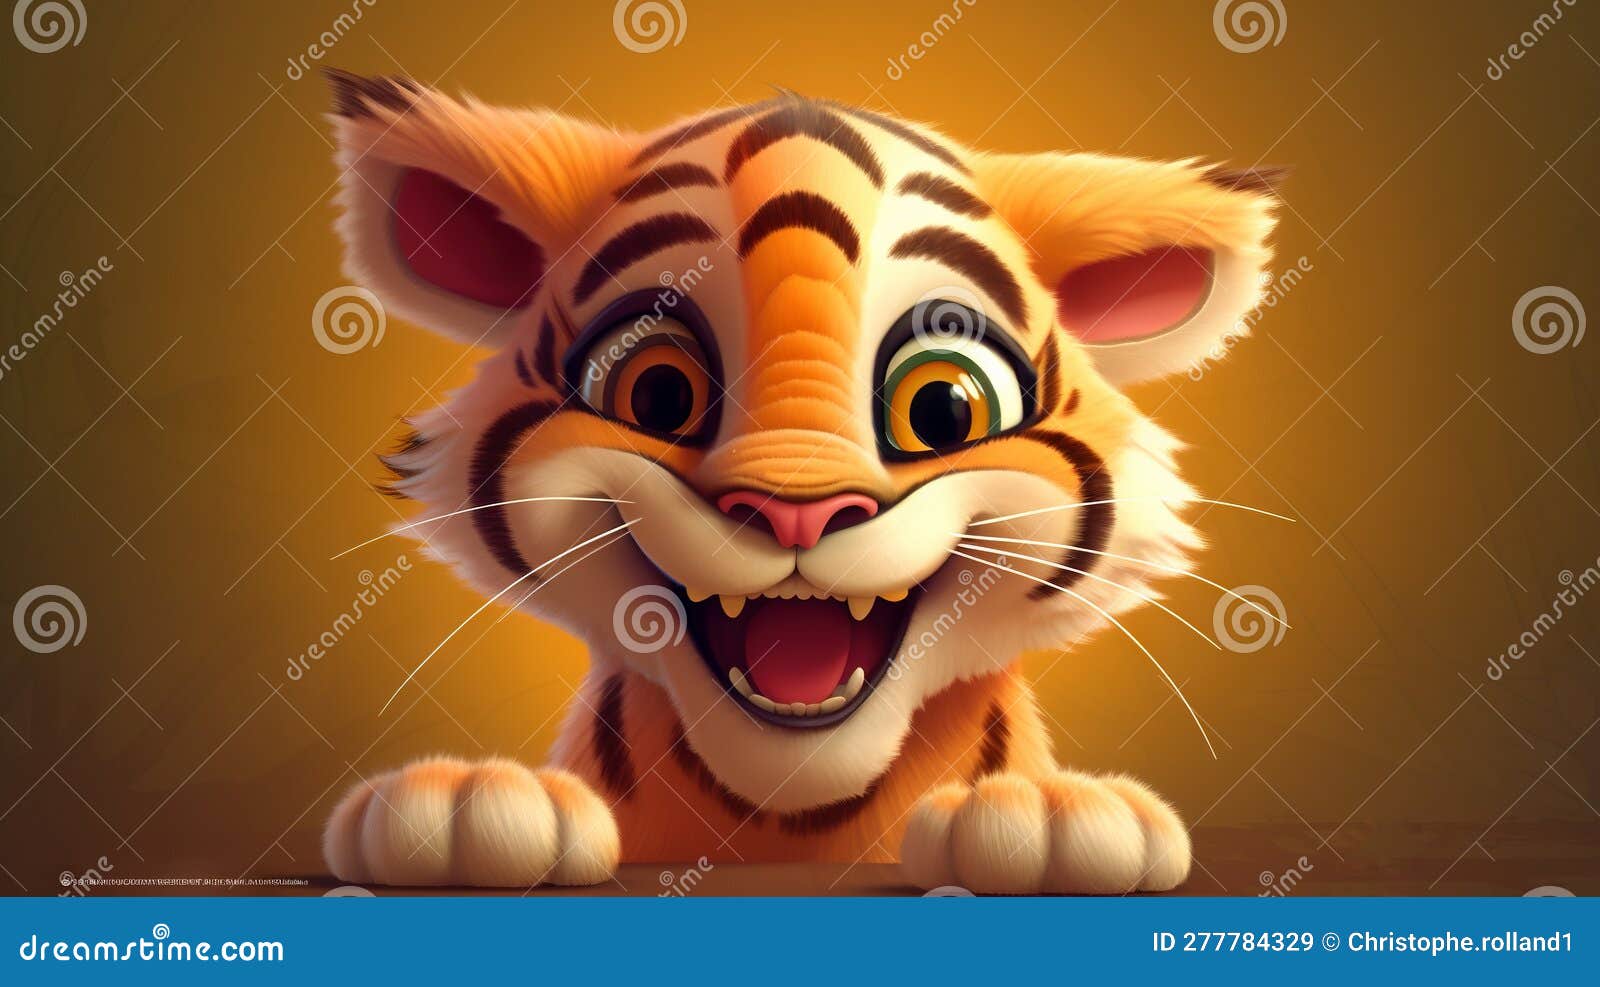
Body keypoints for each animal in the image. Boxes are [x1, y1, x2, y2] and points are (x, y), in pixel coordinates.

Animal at [318, 69, 1282, 894]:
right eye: (659, 392)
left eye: (942, 408)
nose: (796, 512)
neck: (794, 820)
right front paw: (468, 800)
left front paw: (1049, 815)